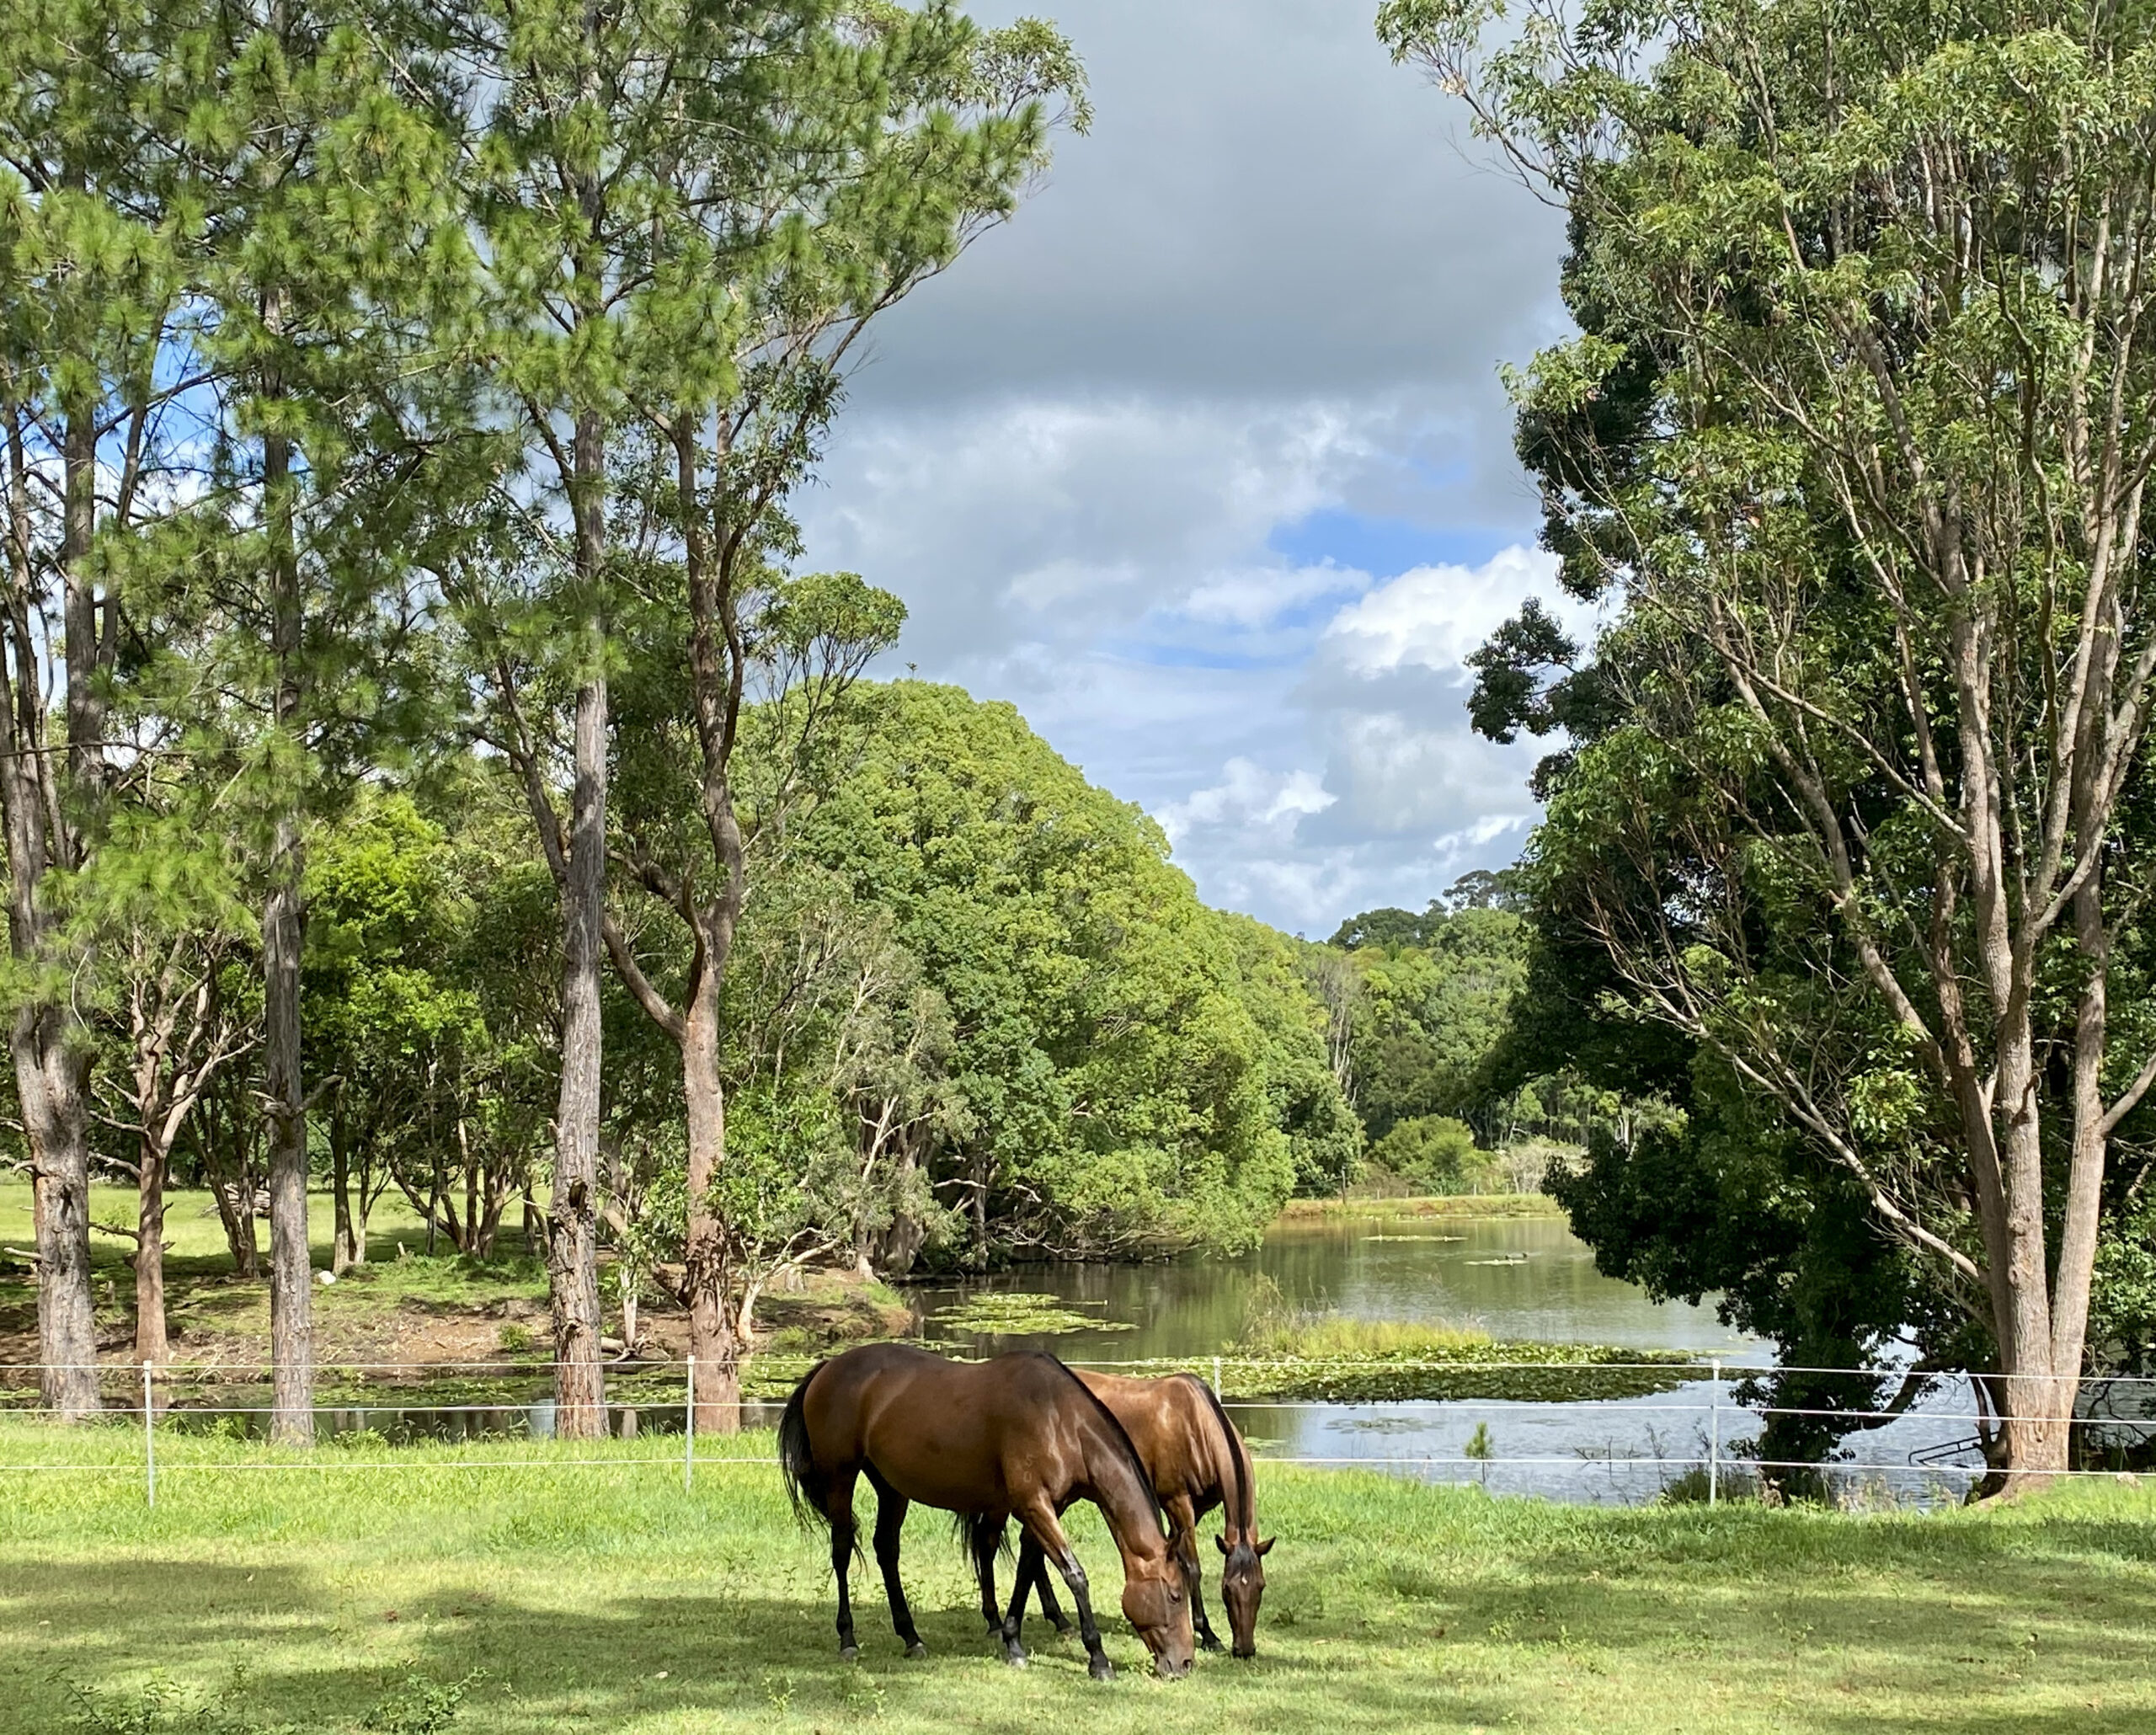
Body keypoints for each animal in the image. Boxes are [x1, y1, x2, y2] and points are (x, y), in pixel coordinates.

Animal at [777, 1343, 1196, 1680]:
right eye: (1176, 1596)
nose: (1185, 1664)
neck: (1058, 1418)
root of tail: (828, 1367)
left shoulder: (1044, 1508)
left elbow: (1028, 1570)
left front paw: (1012, 1641)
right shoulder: (1034, 1504)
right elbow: (1074, 1575)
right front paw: (1098, 1659)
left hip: (892, 1488)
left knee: (886, 1551)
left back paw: (911, 1637)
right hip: (840, 1479)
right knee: (843, 1551)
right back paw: (848, 1638)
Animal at [1014, 1370, 1273, 1657]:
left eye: (1261, 1587)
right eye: (1227, 1589)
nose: (1244, 1649)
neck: (1195, 1423)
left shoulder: (1195, 1510)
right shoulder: (1176, 1502)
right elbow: (1192, 1567)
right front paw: (1207, 1634)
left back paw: (1058, 1619)